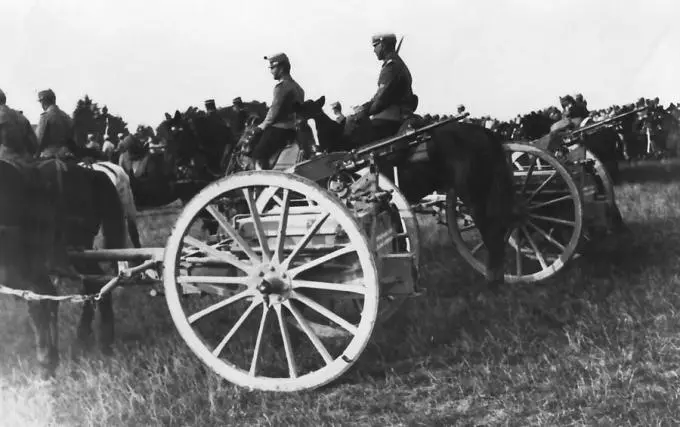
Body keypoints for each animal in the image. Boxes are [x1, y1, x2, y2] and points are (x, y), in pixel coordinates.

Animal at [294, 95, 516, 286]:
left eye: (310, 124)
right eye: (299, 124)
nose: (315, 153)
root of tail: (484, 133)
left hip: (474, 194)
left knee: (492, 230)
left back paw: (492, 279)